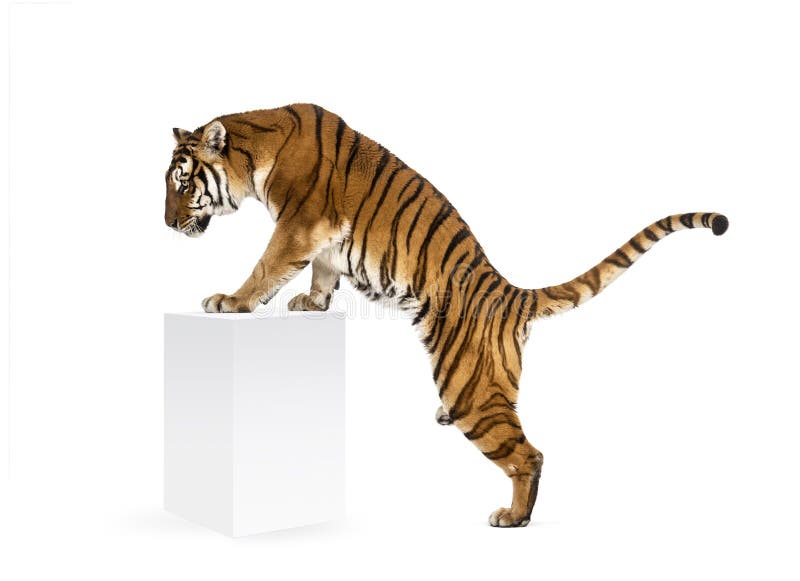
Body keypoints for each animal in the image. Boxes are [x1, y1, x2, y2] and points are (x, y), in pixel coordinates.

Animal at [164, 103, 728, 527]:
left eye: (183, 183)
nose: (167, 224)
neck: (256, 150)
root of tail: (510, 292)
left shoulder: (299, 222)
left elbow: (266, 266)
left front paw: (230, 301)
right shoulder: (321, 238)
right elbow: (321, 272)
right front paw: (312, 303)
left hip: (469, 391)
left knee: (529, 454)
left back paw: (514, 517)